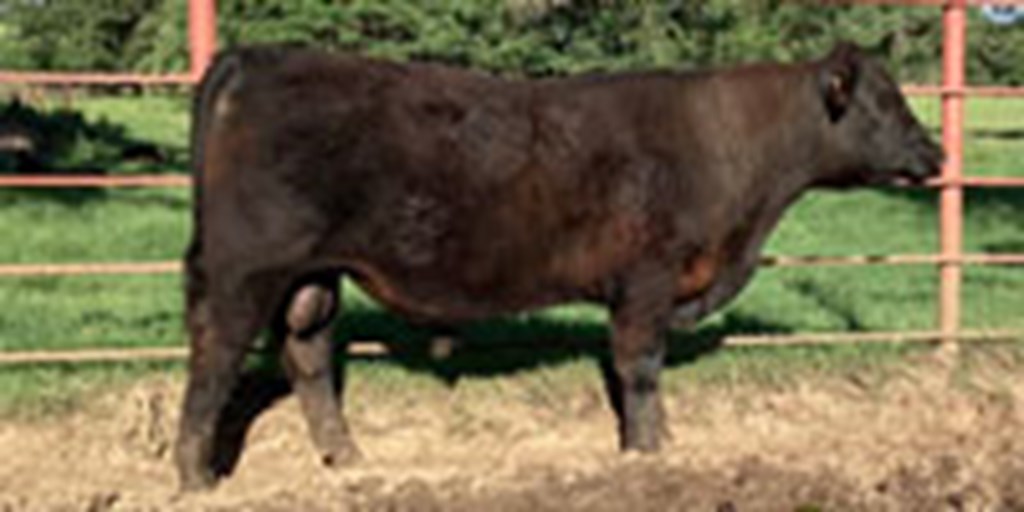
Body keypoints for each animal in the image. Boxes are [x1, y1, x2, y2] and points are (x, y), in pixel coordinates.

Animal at [176, 41, 942, 490]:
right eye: (884, 103)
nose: (936, 153)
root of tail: (254, 59)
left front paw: (663, 442)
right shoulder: (646, 280)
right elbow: (640, 368)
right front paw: (647, 455)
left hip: (311, 275)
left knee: (306, 353)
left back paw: (346, 459)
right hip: (246, 271)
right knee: (216, 357)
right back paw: (195, 477)